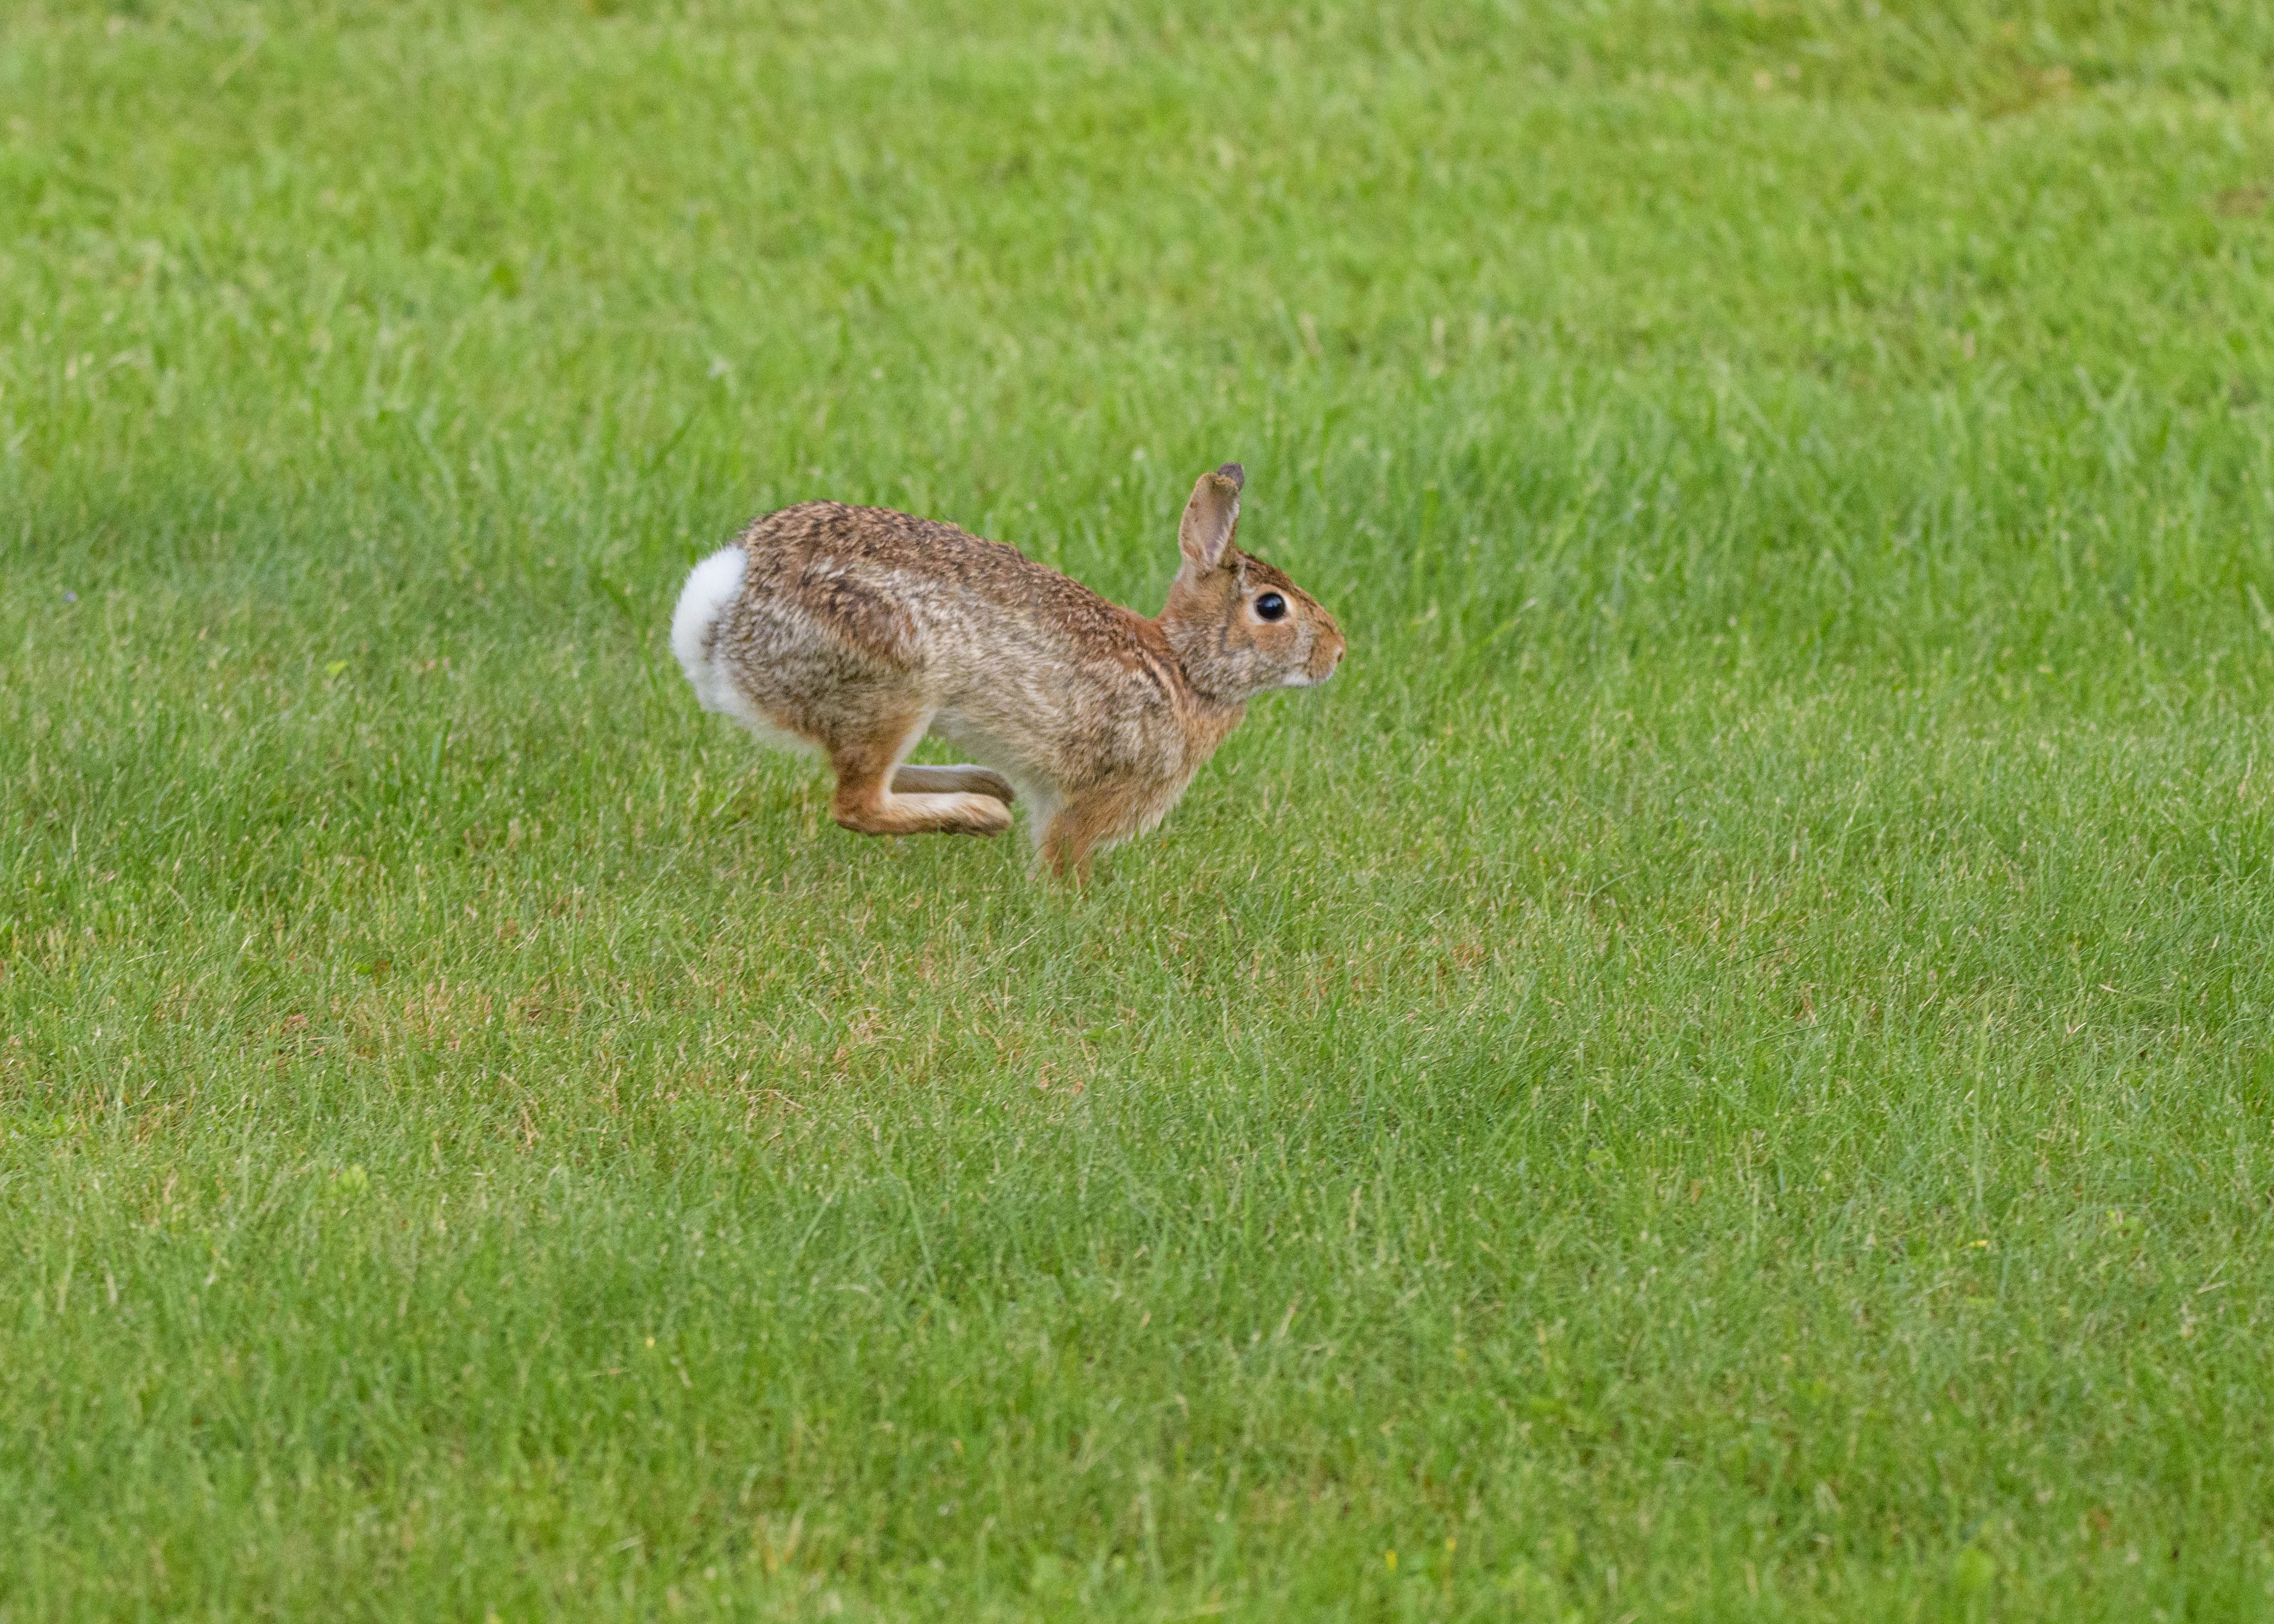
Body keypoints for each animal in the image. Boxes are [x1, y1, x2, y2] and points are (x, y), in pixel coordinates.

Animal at [671, 462, 1343, 877]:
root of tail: (728, 606)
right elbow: (1064, 856)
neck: (1184, 667)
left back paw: (985, 787)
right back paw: (980, 814)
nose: (1338, 653)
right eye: (1272, 607)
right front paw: (1072, 909)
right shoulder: (1097, 796)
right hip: (896, 682)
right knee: (857, 803)